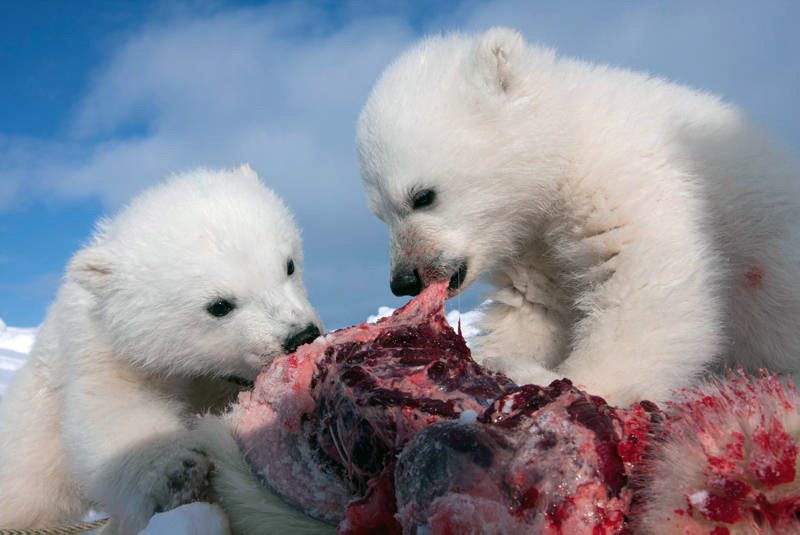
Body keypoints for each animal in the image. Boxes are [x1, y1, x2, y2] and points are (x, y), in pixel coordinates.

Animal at [0, 165, 322, 533]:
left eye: (289, 265)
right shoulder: (109, 352)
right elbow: (115, 410)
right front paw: (177, 472)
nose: (300, 335)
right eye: (219, 306)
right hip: (36, 424)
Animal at [356, 27, 800, 405]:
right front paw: (496, 356)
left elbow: (644, 281)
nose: (404, 281)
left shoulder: (625, 177)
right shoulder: (535, 239)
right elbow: (533, 305)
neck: (570, 138)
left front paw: (566, 381)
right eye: (379, 214)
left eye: (422, 196)